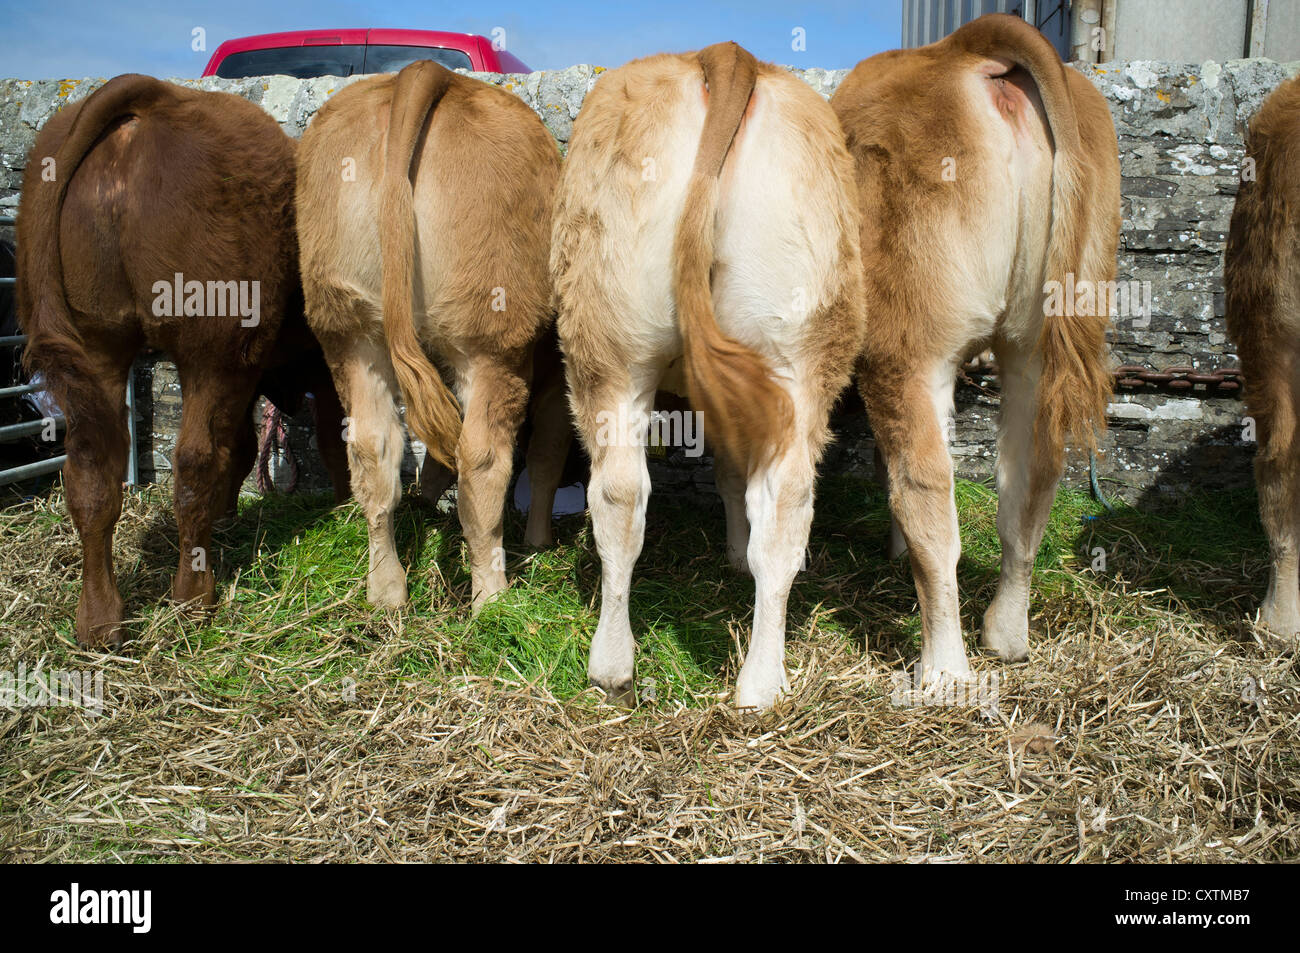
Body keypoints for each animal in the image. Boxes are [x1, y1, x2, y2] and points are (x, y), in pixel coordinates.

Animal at [16, 74, 351, 642]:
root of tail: (156, 98)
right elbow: (332, 440)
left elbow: (244, 448)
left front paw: (227, 516)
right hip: (212, 353)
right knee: (194, 460)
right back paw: (194, 596)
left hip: (97, 347)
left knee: (92, 474)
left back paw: (100, 620)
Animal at [299, 61, 569, 608]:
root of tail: (424, 72)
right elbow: (546, 455)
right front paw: (539, 539)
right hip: (493, 345)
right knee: (482, 459)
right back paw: (493, 599)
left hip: (348, 332)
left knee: (373, 450)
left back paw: (386, 590)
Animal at [553, 42, 868, 707]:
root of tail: (721, 55)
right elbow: (731, 473)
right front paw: (736, 552)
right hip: (797, 351)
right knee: (783, 501)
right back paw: (761, 682)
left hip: (607, 346)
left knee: (618, 493)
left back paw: (611, 666)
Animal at [832, 16, 1128, 686]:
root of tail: (966, 48)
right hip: (1038, 345)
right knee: (1030, 484)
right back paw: (1006, 636)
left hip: (904, 349)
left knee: (929, 498)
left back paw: (944, 673)